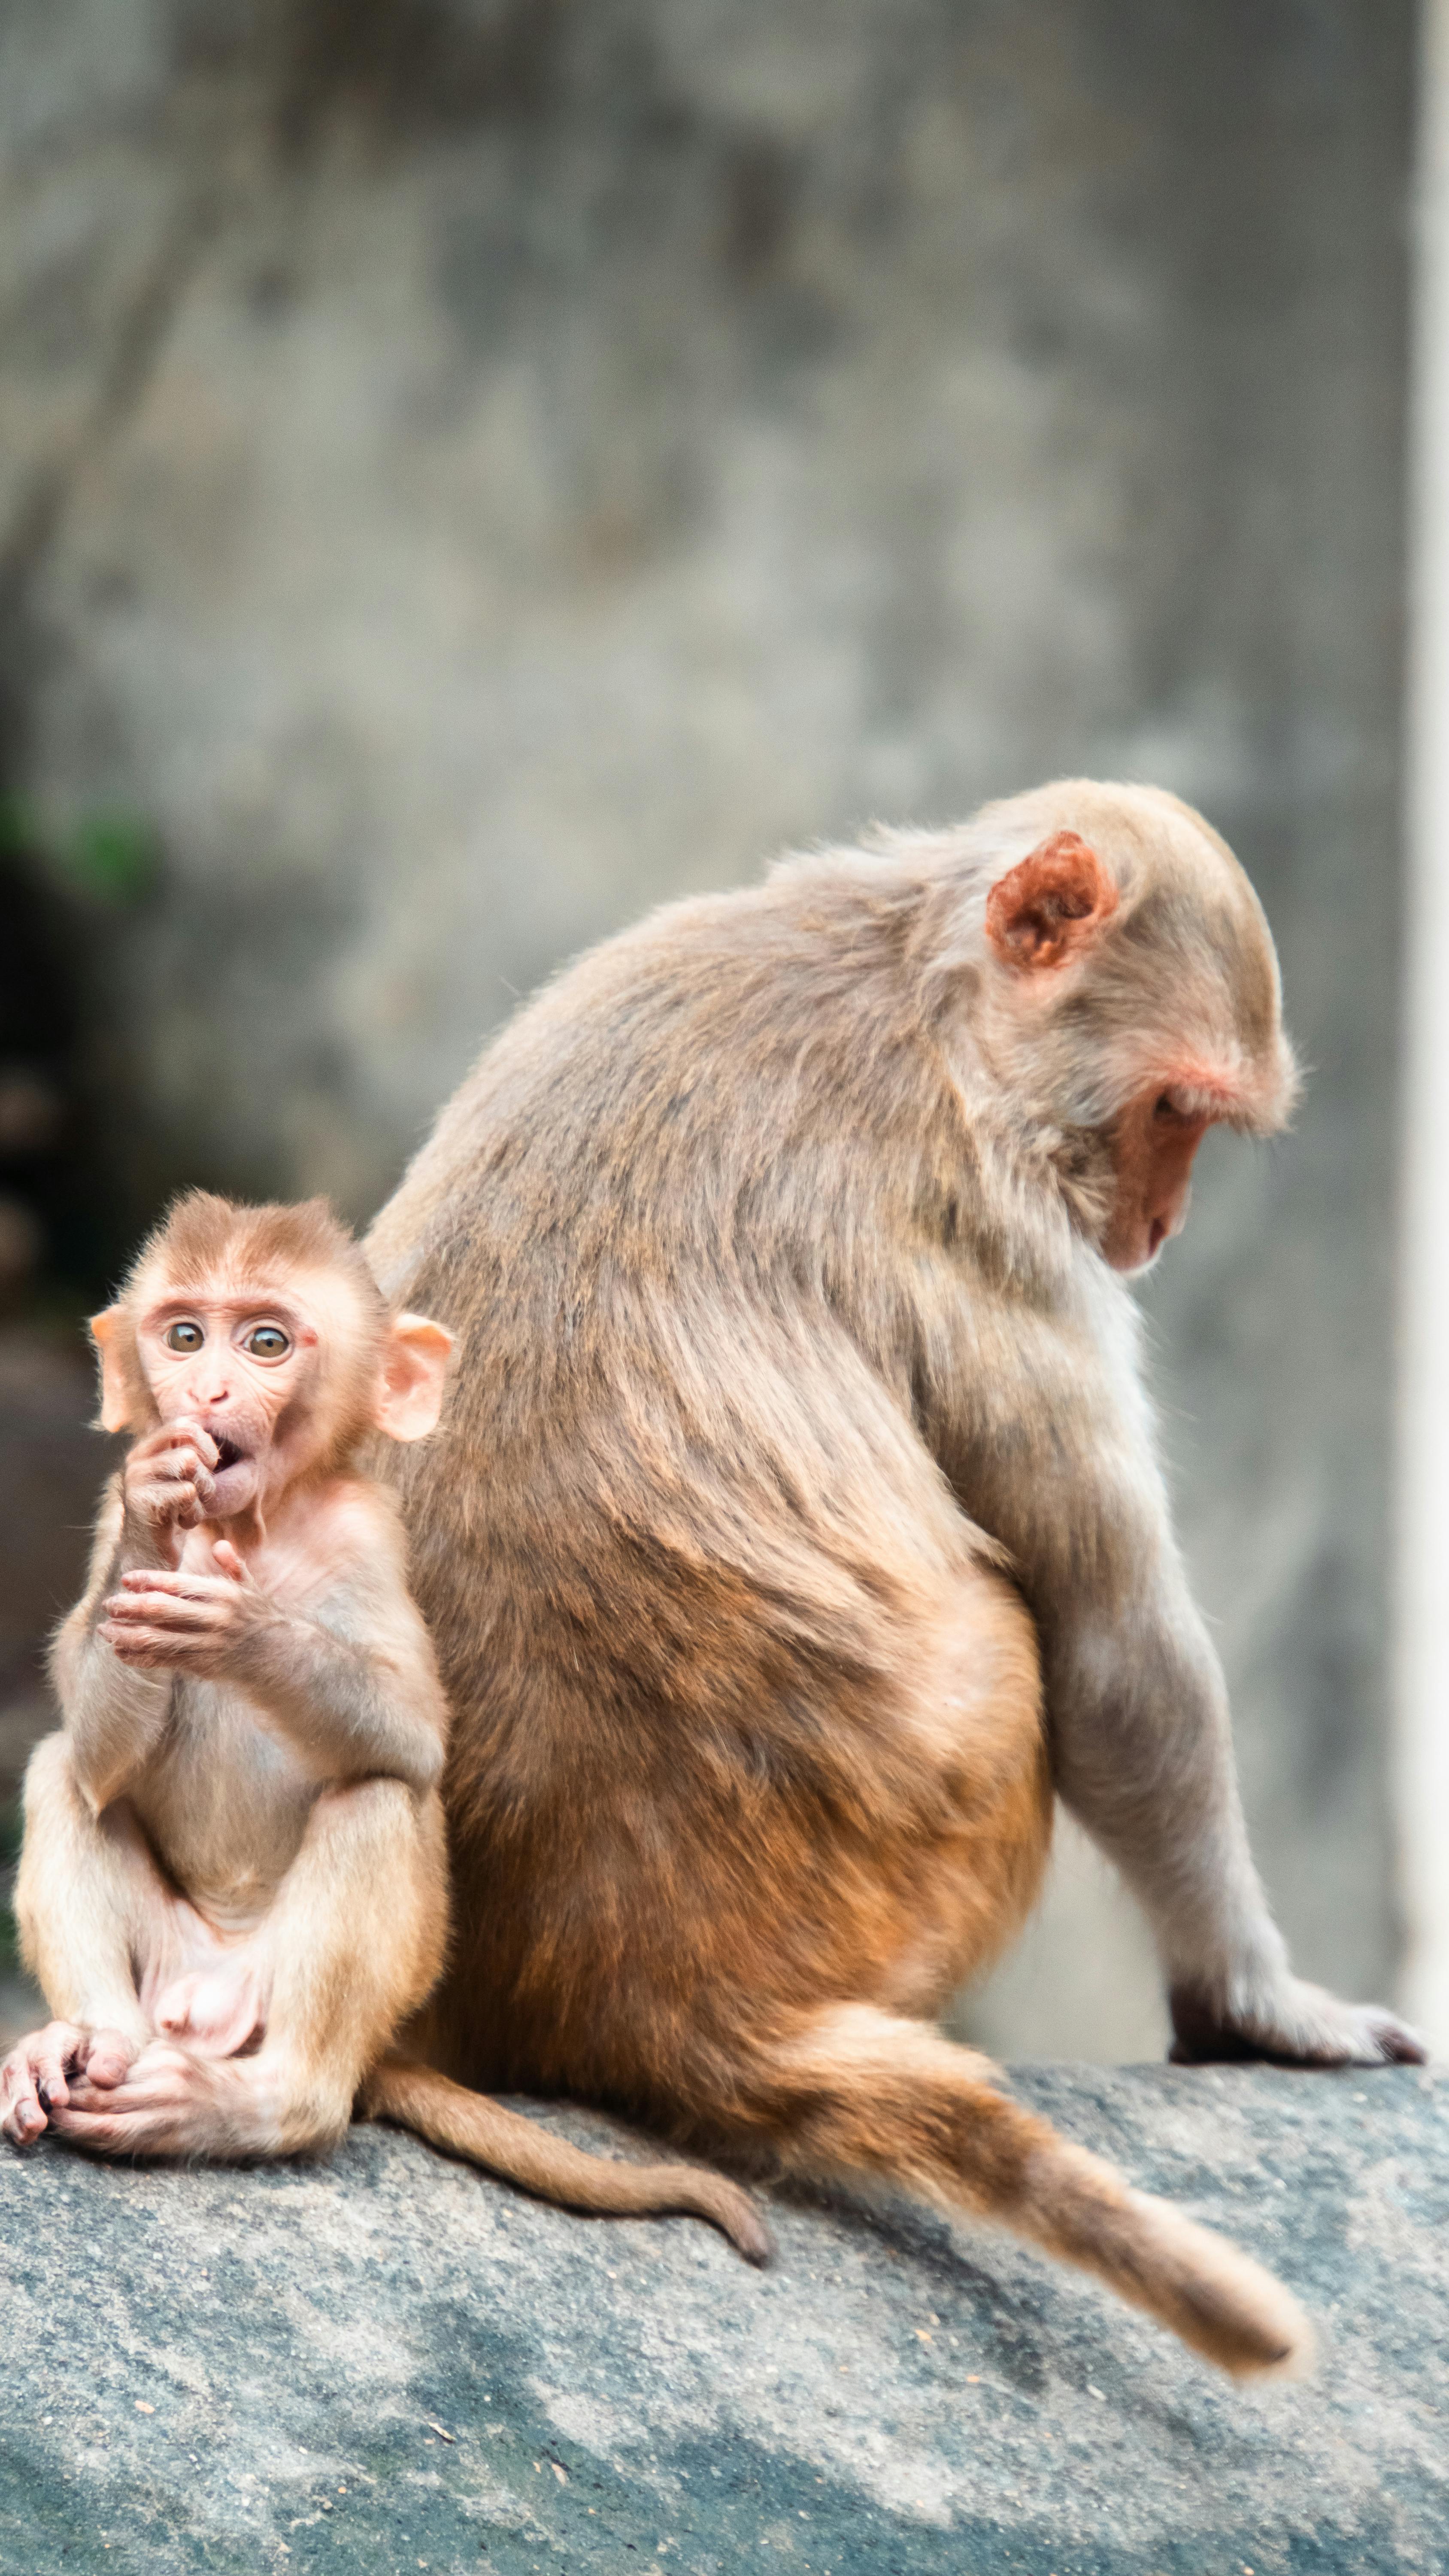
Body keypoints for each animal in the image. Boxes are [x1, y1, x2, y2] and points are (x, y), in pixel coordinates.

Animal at [0, 1191, 770, 2262]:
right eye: (185, 1336)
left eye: (267, 1341)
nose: (207, 1392)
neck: (258, 1523)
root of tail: (208, 1996)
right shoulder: (113, 1533)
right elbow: (98, 1754)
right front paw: (160, 1511)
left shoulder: (371, 1534)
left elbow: (412, 1739)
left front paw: (245, 1633)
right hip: (170, 1974)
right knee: (60, 1775)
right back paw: (82, 2050)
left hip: (313, 1999)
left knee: (373, 1802)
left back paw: (258, 2105)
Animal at [360, 778, 1424, 2379]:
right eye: (1172, 1109)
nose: (1160, 1228)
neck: (919, 980)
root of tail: (654, 1996)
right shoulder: (1009, 1242)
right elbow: (1119, 1668)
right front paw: (1257, 2002)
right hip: (934, 1838)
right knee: (1028, 1653)